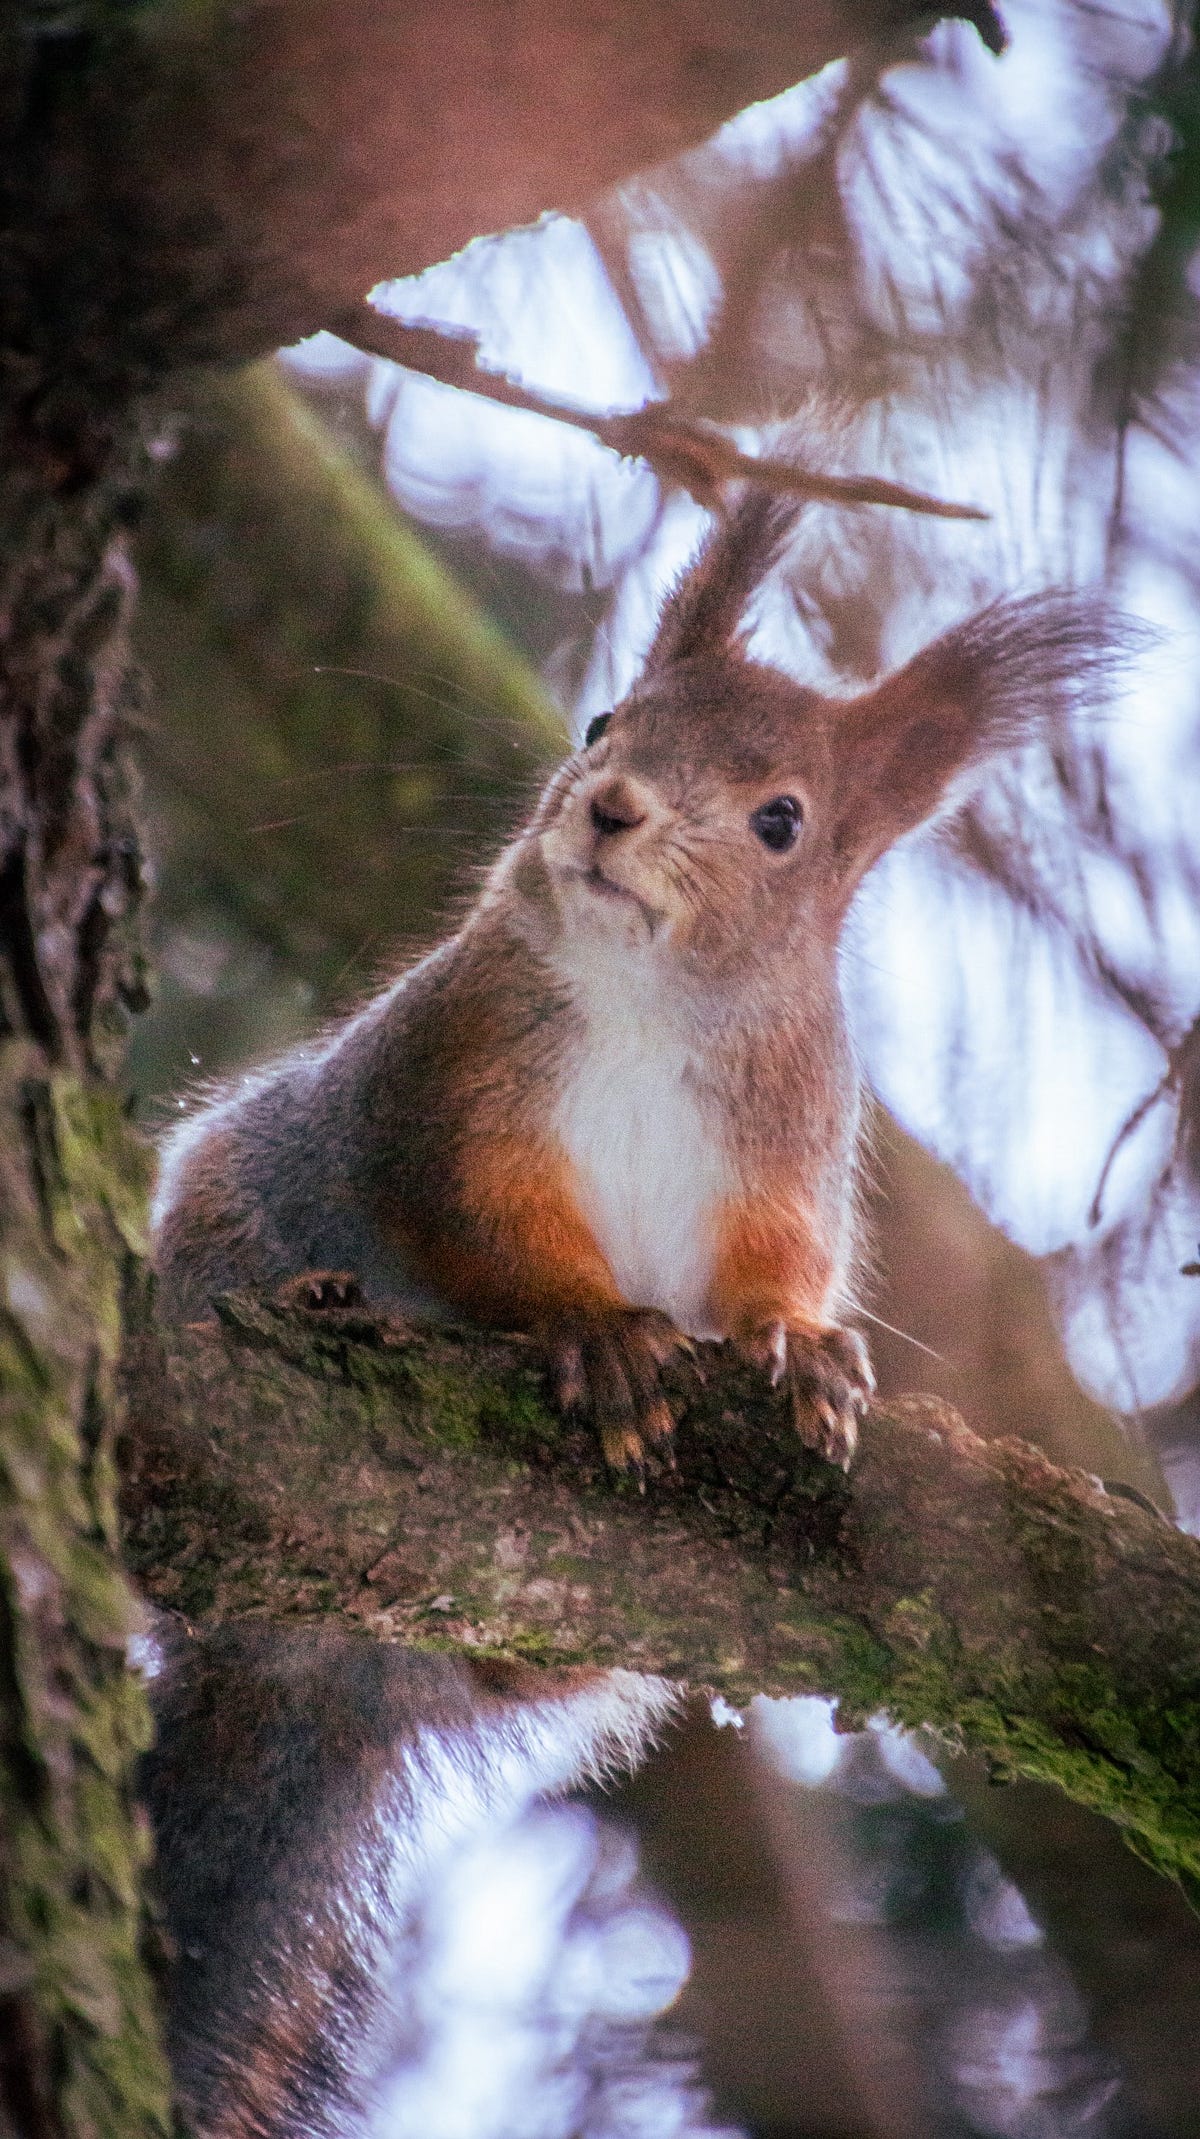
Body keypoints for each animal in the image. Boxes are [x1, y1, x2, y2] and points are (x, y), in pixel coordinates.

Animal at [151, 487, 1118, 1471]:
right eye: (600, 724)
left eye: (781, 820)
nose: (612, 806)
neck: (646, 1000)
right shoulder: (447, 1070)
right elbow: (479, 1219)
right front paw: (600, 1327)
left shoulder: (786, 1141)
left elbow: (782, 1257)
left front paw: (799, 1337)